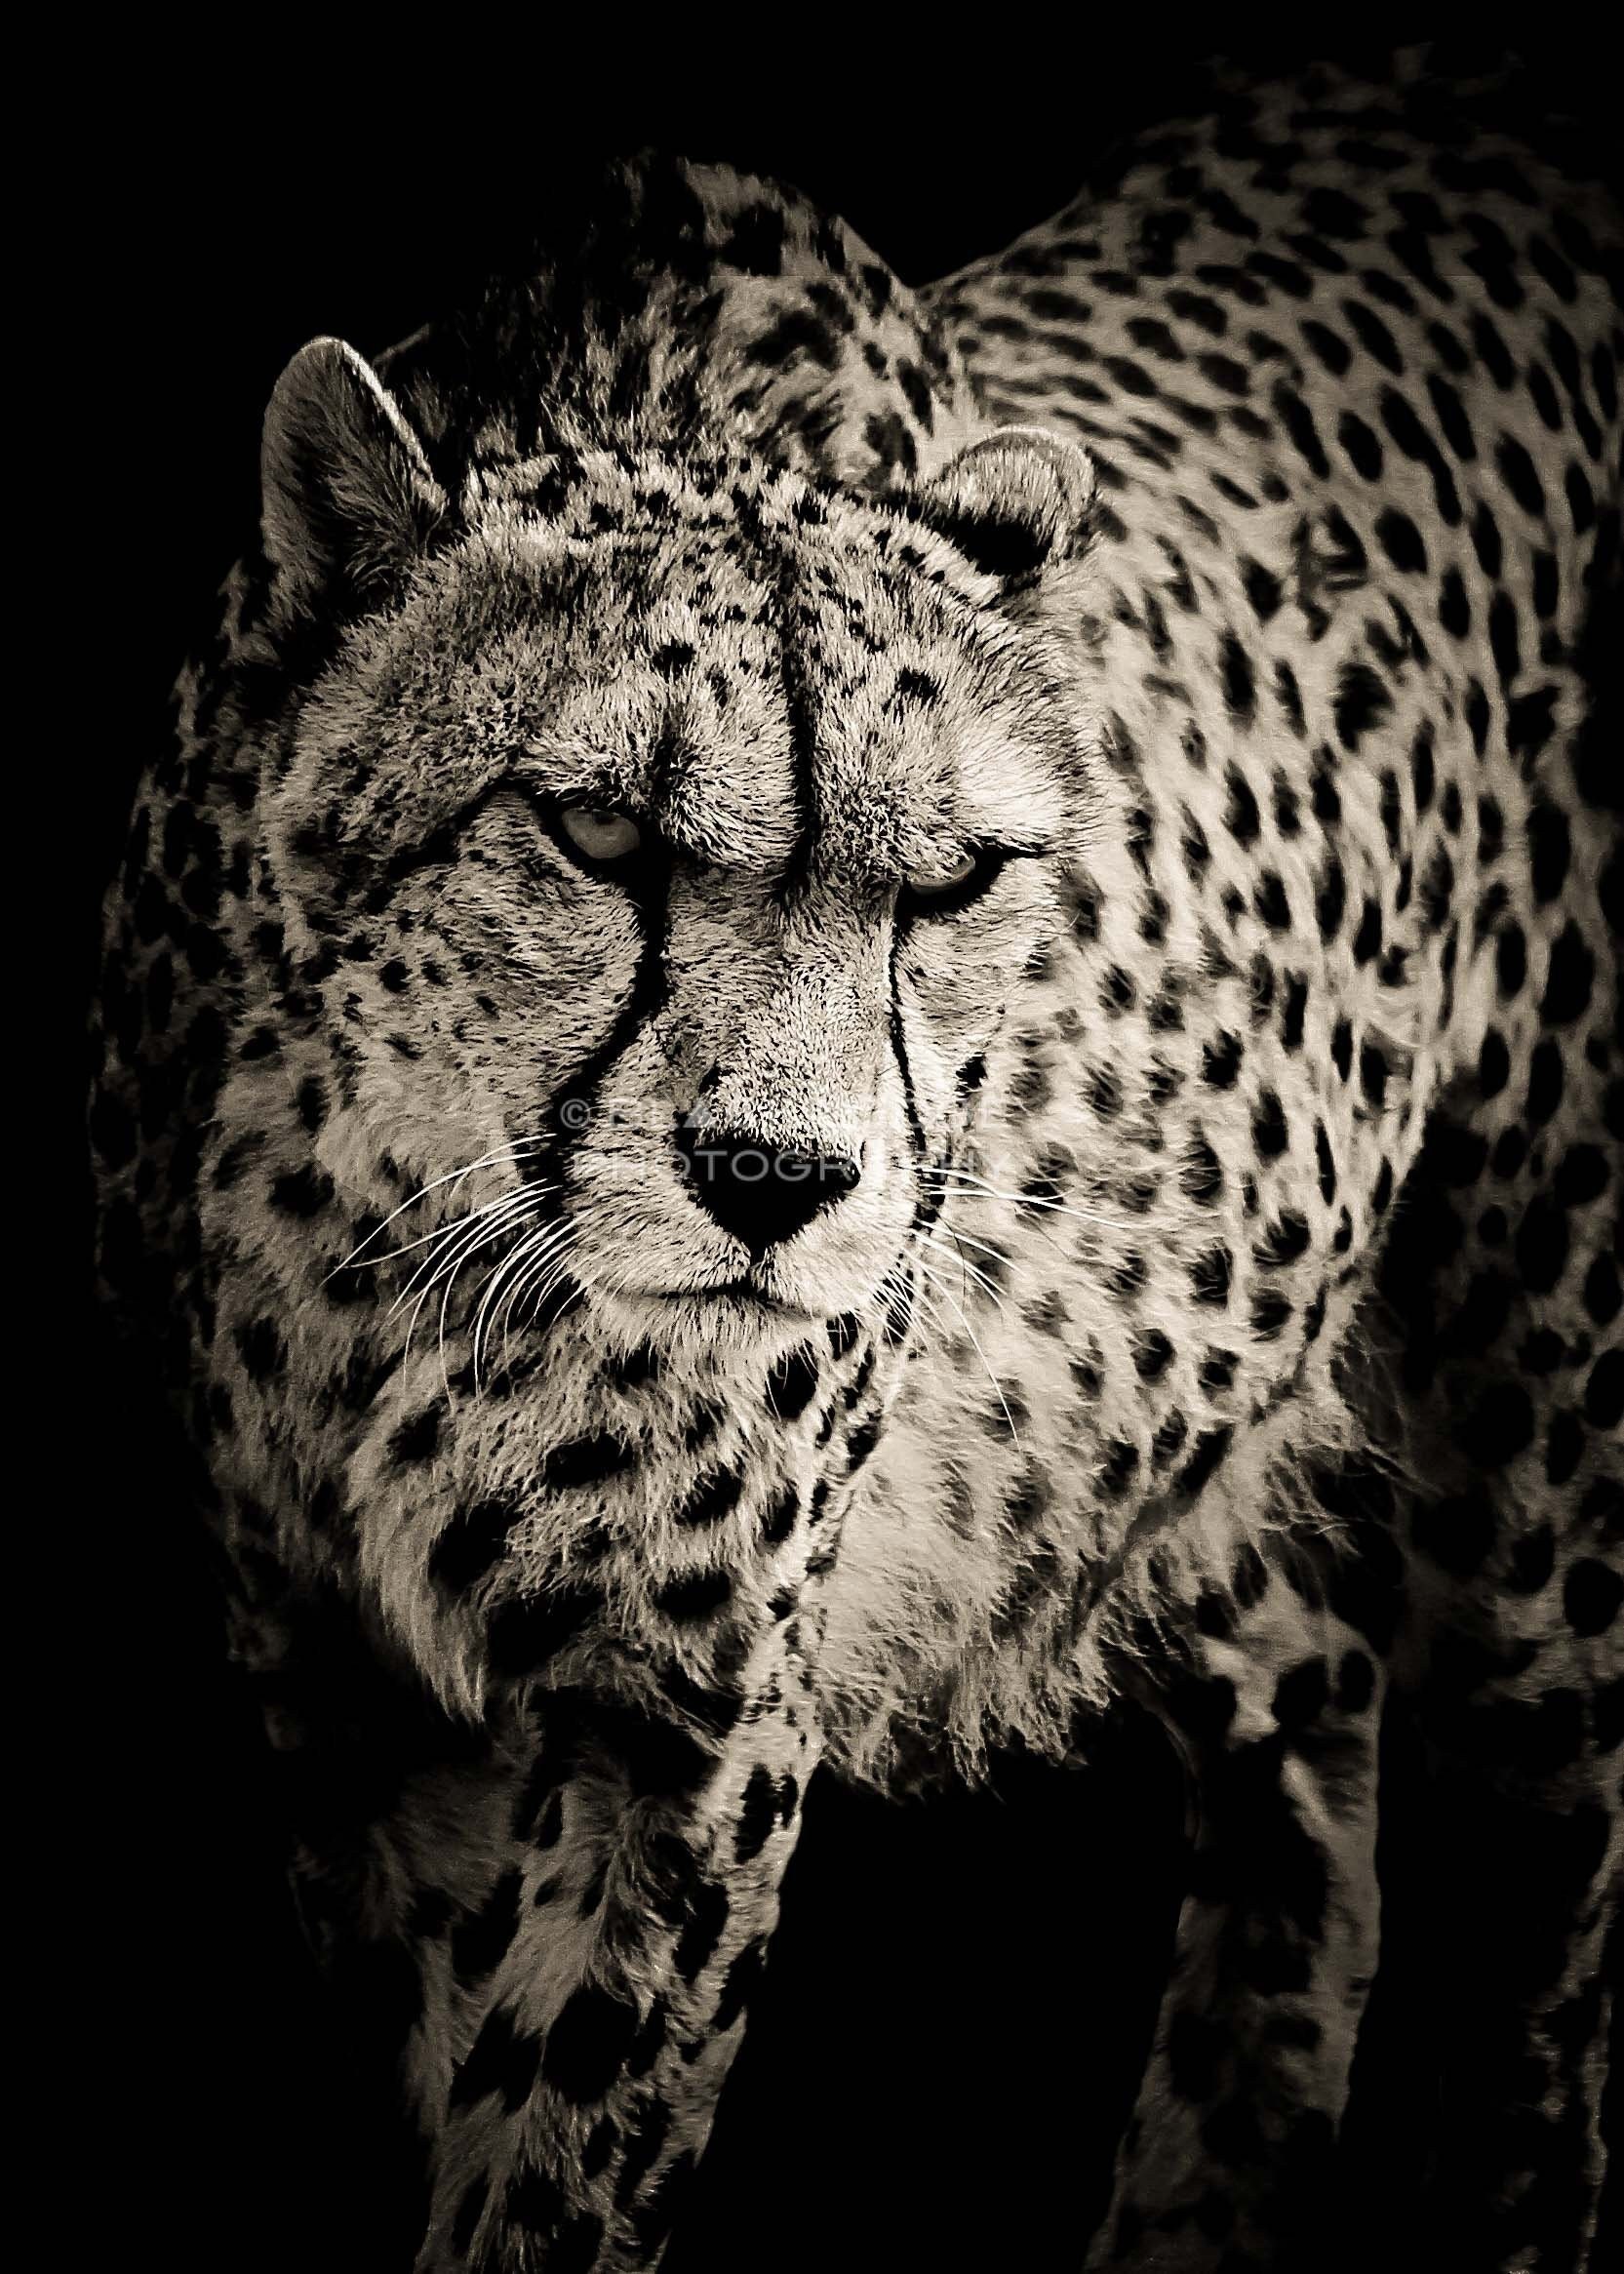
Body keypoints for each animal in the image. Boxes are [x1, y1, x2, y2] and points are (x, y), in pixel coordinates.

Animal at [88, 46, 1622, 2274]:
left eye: (952, 879)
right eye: (596, 830)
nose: (773, 1185)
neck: (395, 1219)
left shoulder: (682, 1718)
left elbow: (553, 2158)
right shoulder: (329, 1704)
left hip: (1529, 1445)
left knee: (1535, 1877)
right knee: (1308, 1702)